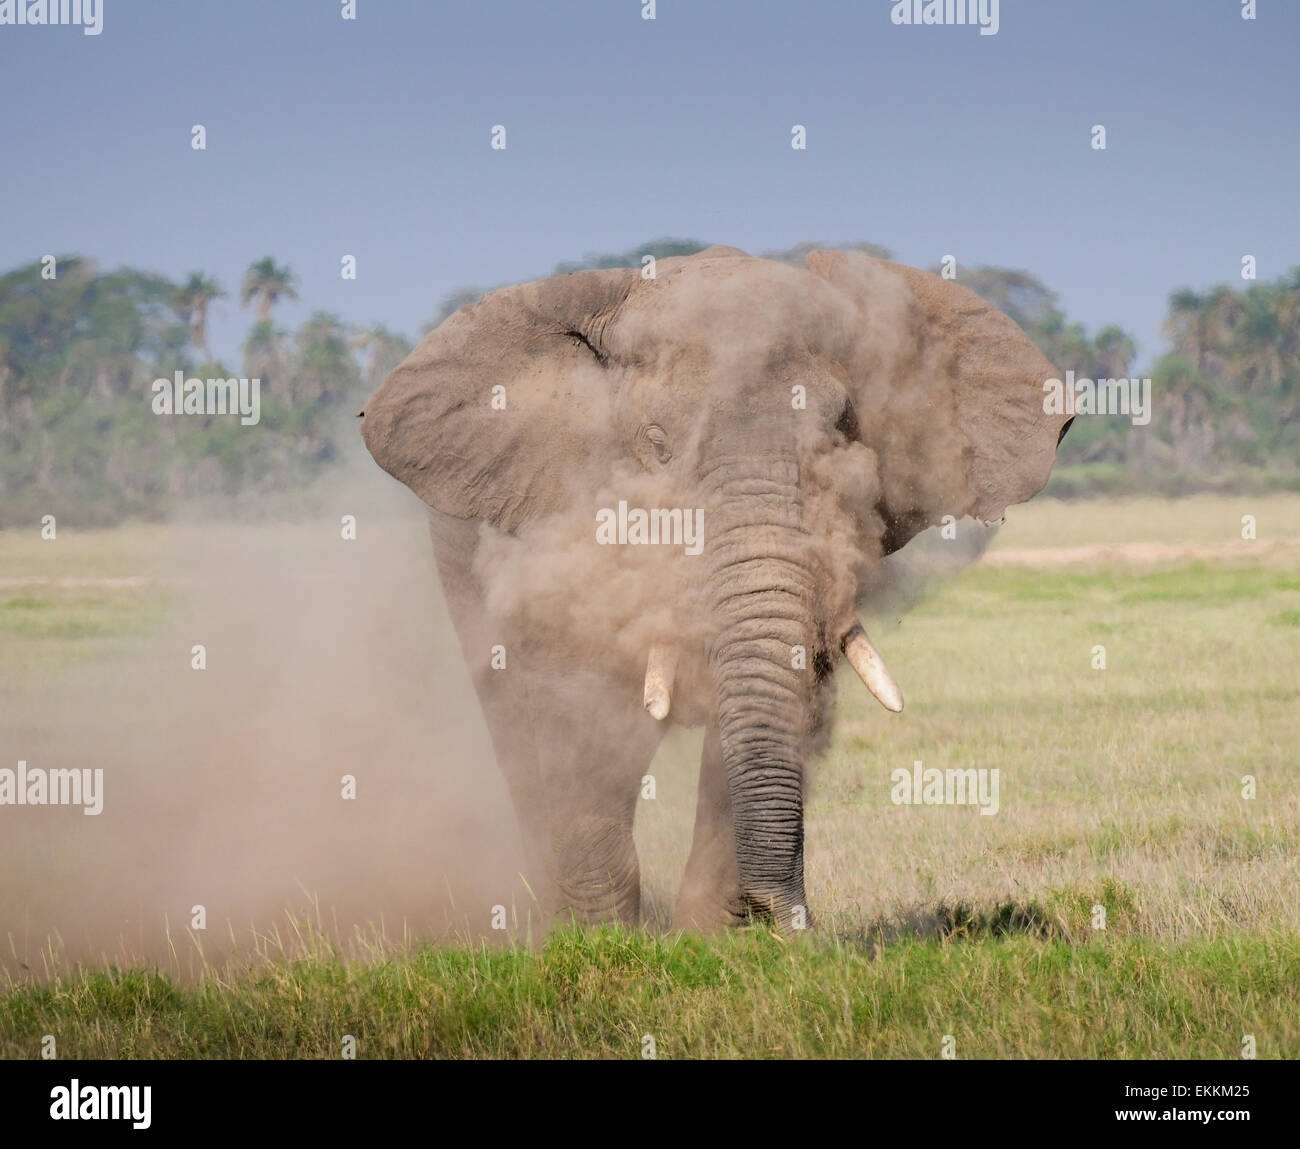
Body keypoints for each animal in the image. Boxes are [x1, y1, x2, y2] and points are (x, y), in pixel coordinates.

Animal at [360, 246, 1071, 934]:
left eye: (844, 438)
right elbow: (579, 720)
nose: (794, 920)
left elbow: (783, 702)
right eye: (656, 445)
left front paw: (712, 944)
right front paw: (599, 943)